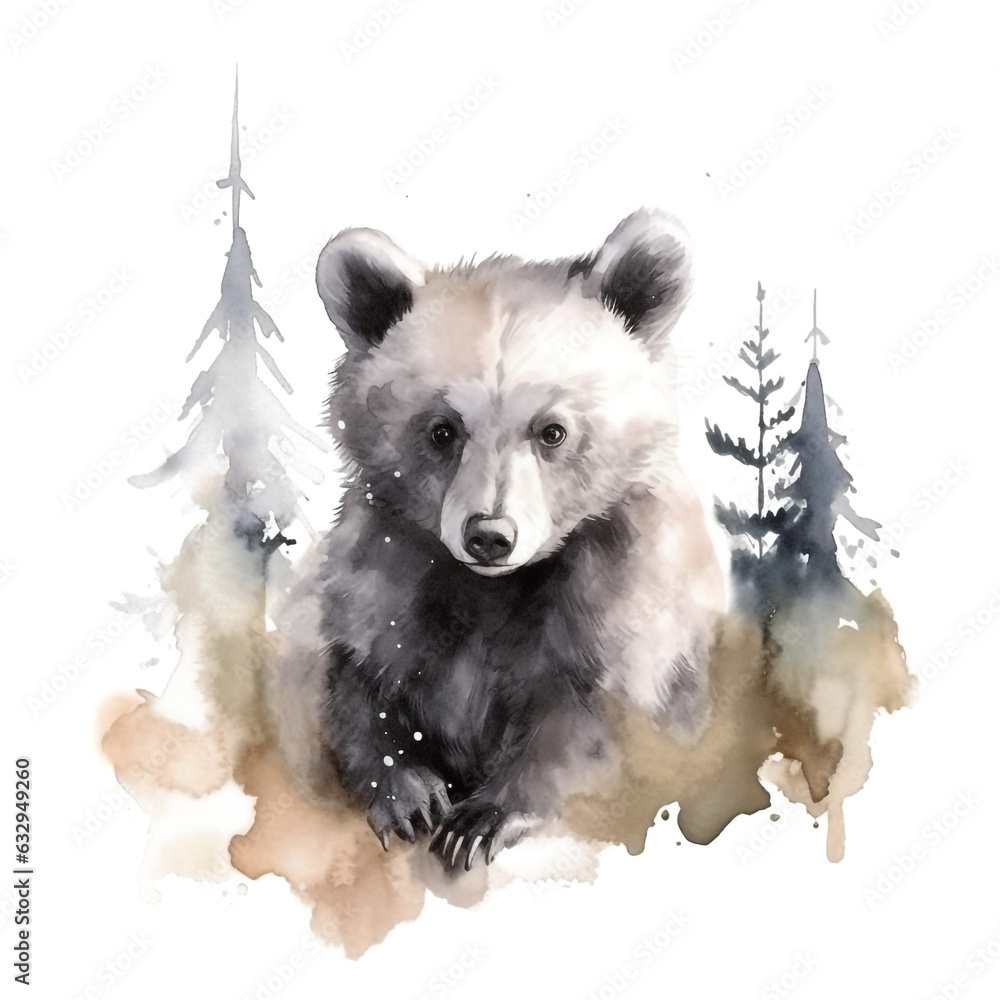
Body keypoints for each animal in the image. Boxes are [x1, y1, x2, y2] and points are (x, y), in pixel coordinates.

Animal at [272, 209, 724, 873]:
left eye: (552, 430)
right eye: (442, 429)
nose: (489, 535)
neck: (493, 590)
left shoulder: (619, 598)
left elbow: (589, 726)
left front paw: (483, 818)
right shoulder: (388, 574)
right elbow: (358, 688)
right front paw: (411, 794)